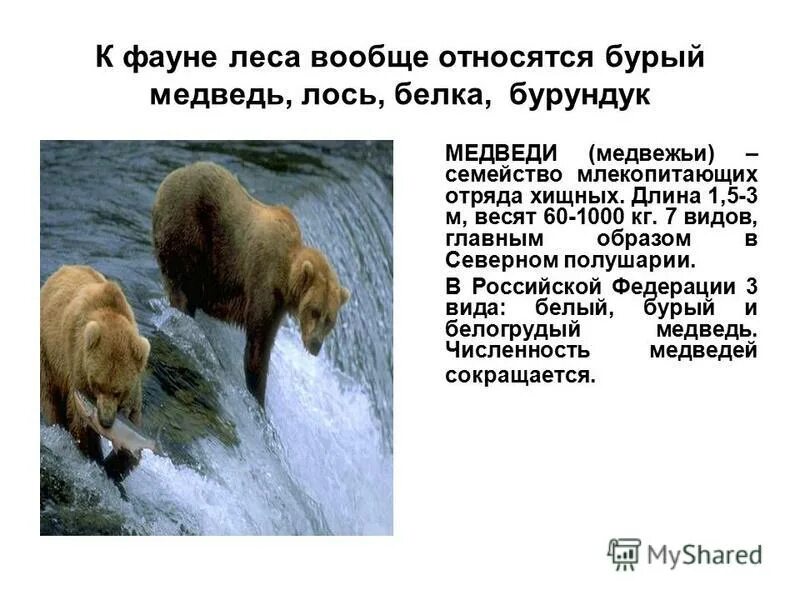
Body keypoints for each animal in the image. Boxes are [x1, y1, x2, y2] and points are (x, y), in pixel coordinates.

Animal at [40, 265, 150, 482]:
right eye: (97, 385)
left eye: (118, 391)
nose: (105, 422)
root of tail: (61, 270)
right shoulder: (76, 365)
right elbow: (79, 420)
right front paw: (95, 457)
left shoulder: (133, 391)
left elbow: (133, 425)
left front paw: (118, 464)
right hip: (48, 352)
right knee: (50, 397)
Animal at [151, 161, 350, 407]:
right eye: (314, 311)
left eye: (329, 320)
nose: (315, 345)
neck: (286, 278)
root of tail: (168, 179)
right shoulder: (262, 281)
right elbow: (258, 346)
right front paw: (258, 396)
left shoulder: (277, 305)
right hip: (186, 228)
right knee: (182, 285)